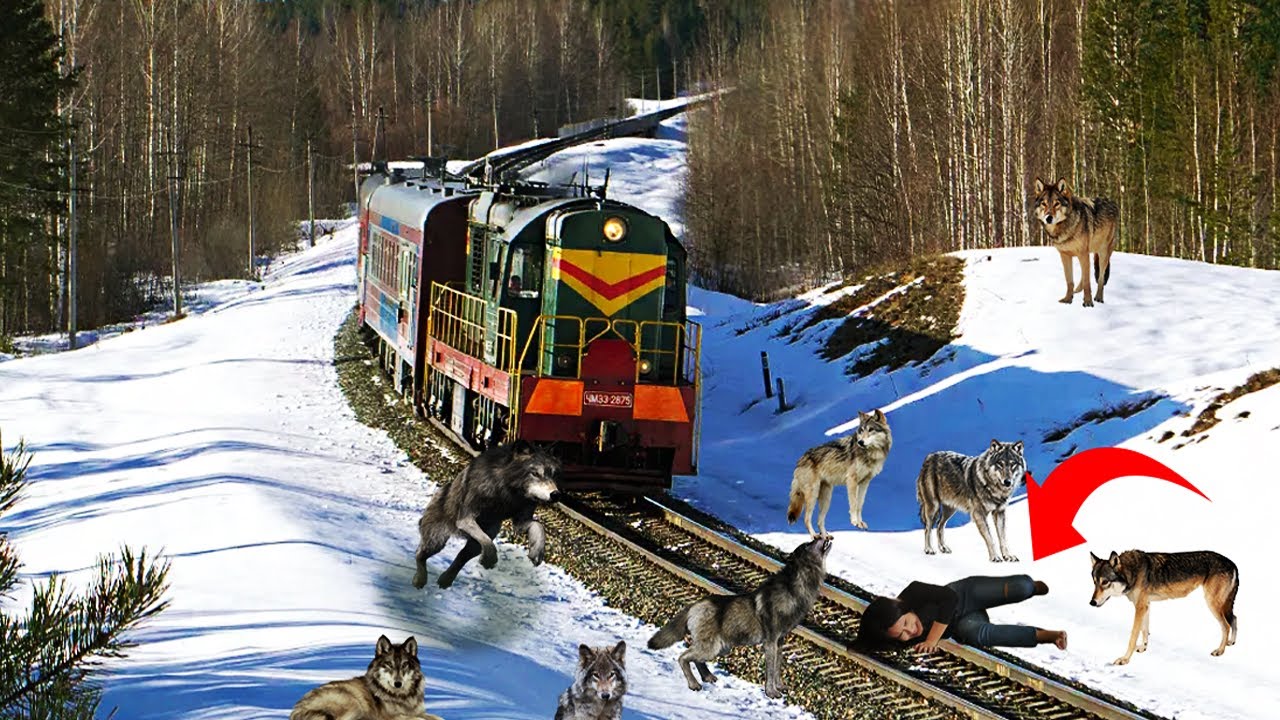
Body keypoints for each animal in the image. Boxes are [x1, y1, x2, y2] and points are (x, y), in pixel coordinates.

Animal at [290, 635, 442, 720]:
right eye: (389, 664)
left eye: (404, 665)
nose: (397, 683)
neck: (402, 696)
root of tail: (296, 710)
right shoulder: (390, 717)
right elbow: (417, 719)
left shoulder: (419, 712)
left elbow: (436, 717)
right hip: (353, 703)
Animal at [412, 439, 561, 589]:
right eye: (535, 473)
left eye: (554, 475)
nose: (555, 494)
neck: (508, 492)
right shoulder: (466, 519)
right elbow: (488, 544)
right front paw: (489, 560)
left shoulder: (521, 522)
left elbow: (539, 526)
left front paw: (537, 551)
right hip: (436, 541)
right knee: (419, 555)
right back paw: (420, 580)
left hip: (479, 541)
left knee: (461, 557)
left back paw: (445, 580)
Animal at [648, 534, 832, 699]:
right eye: (808, 544)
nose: (820, 535)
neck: (795, 587)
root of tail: (694, 605)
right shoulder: (770, 642)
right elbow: (771, 671)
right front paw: (771, 693)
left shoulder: (780, 641)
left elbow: (778, 668)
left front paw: (780, 687)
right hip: (712, 648)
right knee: (683, 657)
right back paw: (694, 684)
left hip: (719, 648)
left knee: (696, 660)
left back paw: (708, 677)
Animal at [1032, 176, 1119, 307]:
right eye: (1044, 204)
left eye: (1056, 204)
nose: (1048, 218)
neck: (1065, 227)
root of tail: (1112, 203)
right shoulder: (1065, 256)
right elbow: (1069, 281)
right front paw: (1068, 299)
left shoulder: (1083, 253)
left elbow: (1088, 282)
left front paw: (1088, 302)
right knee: (1085, 274)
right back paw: (1077, 290)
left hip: (1103, 253)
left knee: (1100, 278)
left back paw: (1098, 297)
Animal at [1090, 549, 1239, 665]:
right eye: (1095, 582)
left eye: (1105, 582)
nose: (1092, 602)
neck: (1133, 571)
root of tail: (1233, 564)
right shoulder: (1145, 606)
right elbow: (1145, 630)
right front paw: (1143, 648)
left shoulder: (1140, 607)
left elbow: (1133, 637)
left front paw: (1125, 659)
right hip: (1222, 605)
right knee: (1234, 618)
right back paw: (1230, 642)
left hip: (1212, 604)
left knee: (1226, 626)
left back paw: (1220, 651)